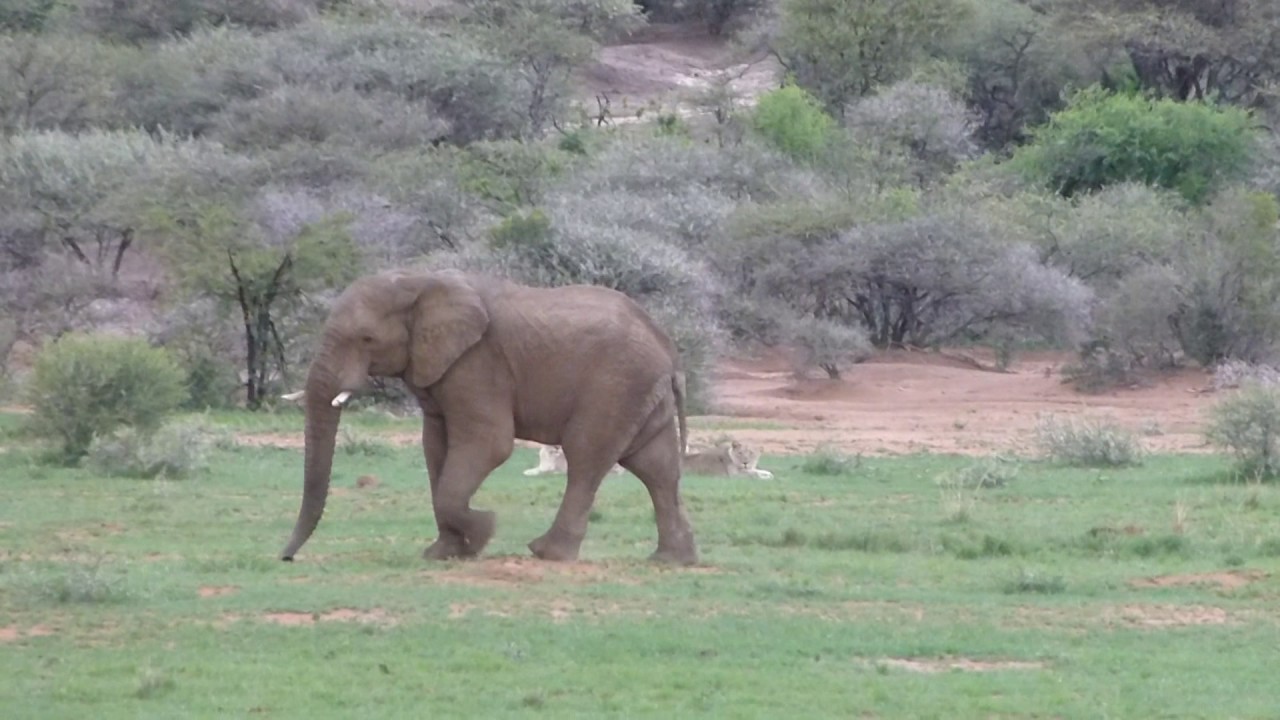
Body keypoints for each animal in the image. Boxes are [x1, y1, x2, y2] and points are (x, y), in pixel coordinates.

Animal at [279, 268, 698, 565]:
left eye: (366, 339)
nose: (285, 557)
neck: (416, 281)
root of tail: (667, 346)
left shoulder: (477, 363)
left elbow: (488, 445)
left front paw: (484, 530)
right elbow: (435, 449)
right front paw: (444, 553)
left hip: (615, 385)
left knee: (586, 457)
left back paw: (546, 553)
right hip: (640, 391)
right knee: (656, 467)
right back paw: (670, 560)